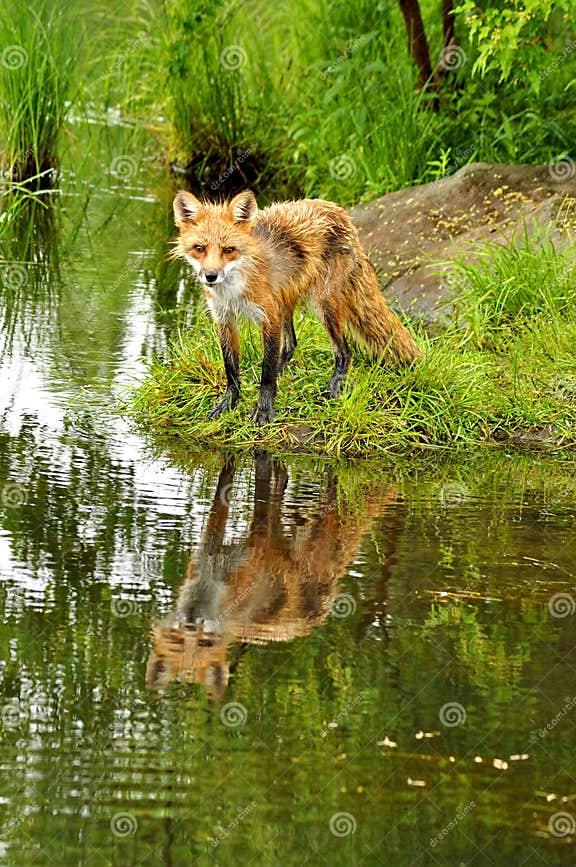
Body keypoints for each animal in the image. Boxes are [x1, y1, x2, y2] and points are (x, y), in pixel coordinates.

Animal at [172, 189, 422, 424]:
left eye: (228, 250)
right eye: (199, 248)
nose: (211, 276)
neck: (233, 291)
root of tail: (339, 211)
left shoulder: (269, 316)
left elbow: (267, 373)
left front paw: (264, 409)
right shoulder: (224, 319)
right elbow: (231, 370)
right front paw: (228, 403)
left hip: (322, 302)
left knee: (344, 352)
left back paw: (334, 386)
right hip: (285, 299)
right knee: (291, 345)